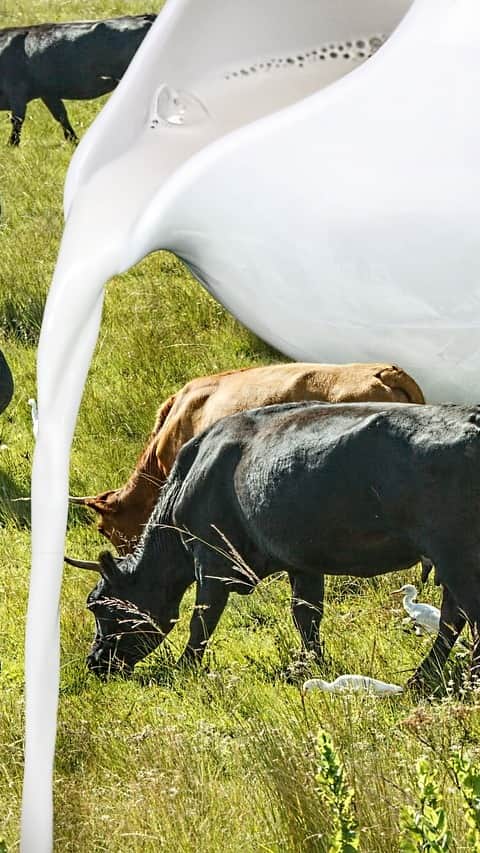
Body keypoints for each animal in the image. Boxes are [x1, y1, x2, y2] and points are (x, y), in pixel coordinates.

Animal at [0, 14, 155, 145]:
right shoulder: (48, 93)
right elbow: (61, 116)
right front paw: (74, 141)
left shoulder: (17, 91)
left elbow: (17, 120)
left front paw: (11, 145)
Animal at [66, 401, 479, 690]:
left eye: (100, 607)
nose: (95, 662)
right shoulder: (303, 562)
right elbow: (306, 616)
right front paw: (312, 663)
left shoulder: (211, 561)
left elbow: (202, 619)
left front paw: (185, 668)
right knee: (453, 616)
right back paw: (423, 678)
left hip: (457, 556)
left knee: (465, 616)